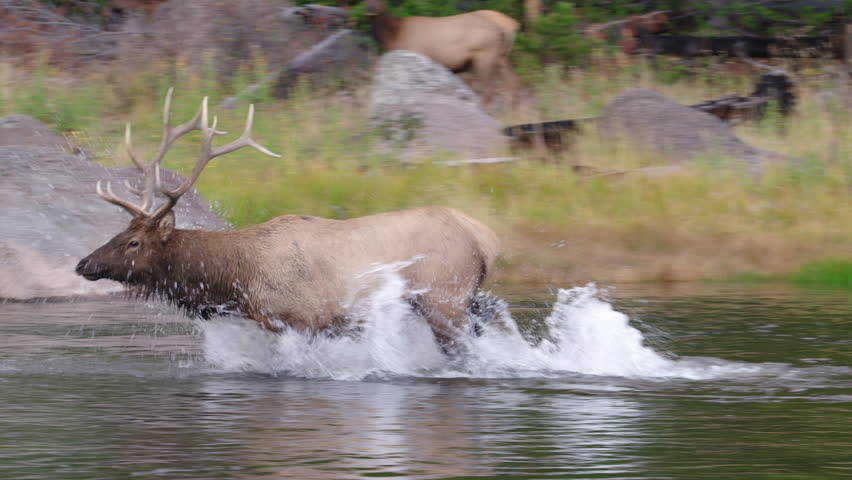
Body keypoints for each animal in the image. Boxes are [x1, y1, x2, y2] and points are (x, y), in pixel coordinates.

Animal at [74, 90, 500, 351]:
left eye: (133, 242)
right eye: (121, 230)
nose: (83, 263)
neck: (236, 280)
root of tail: (485, 236)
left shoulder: (301, 319)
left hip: (444, 298)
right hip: (468, 298)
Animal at [363, 0, 520, 107]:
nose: (370, 9)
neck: (394, 36)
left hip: (484, 56)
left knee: (490, 88)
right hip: (501, 56)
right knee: (512, 81)